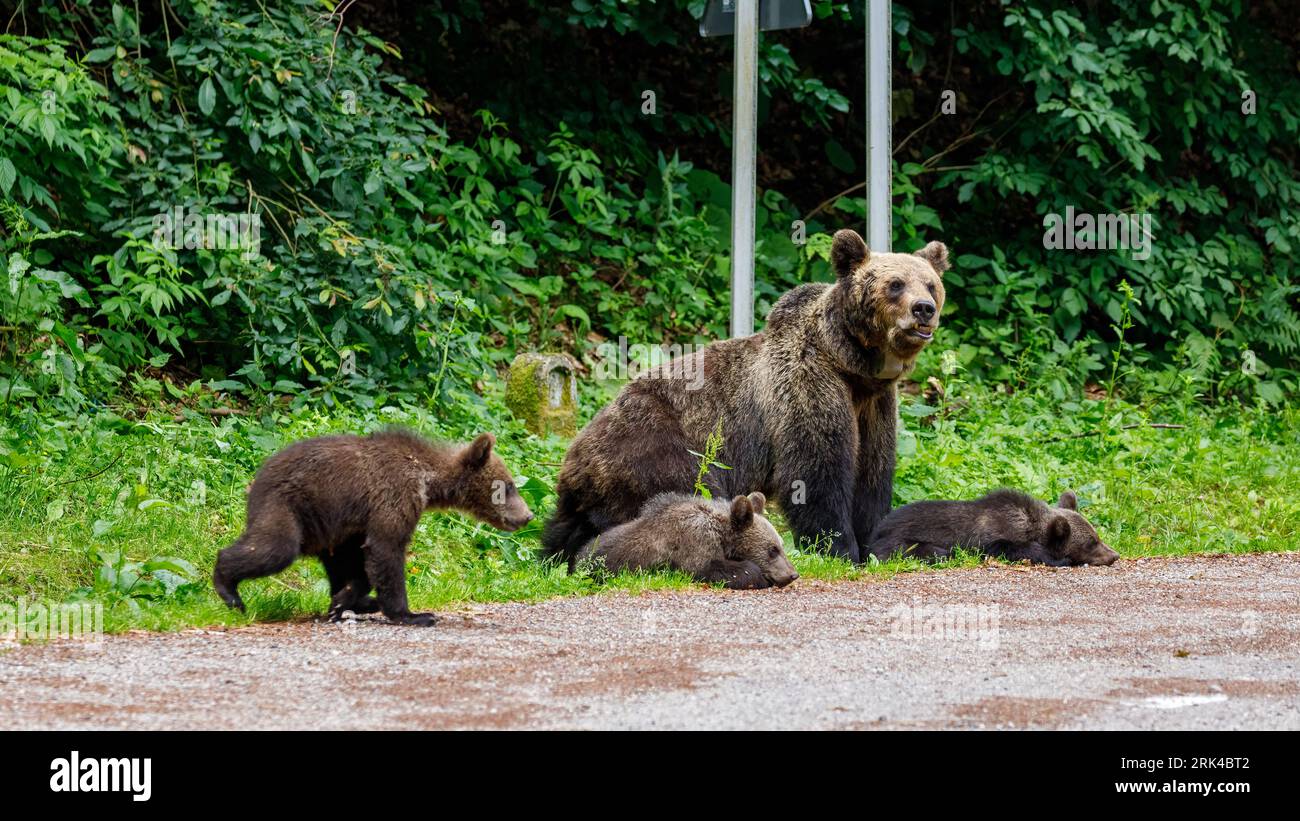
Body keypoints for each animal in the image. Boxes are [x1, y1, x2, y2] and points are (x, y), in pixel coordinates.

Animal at [212, 430, 533, 626]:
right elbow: (386, 548)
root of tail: (257, 478)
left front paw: (346, 599)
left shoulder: (350, 526)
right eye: (508, 486)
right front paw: (412, 614)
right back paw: (229, 590)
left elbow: (354, 558)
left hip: (317, 521)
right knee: (275, 547)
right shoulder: (394, 496)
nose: (528, 516)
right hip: (287, 505)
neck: (428, 481)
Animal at [542, 228, 947, 567]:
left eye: (930, 284)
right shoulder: (808, 387)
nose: (923, 309)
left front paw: (882, 544)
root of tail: (576, 458)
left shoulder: (875, 405)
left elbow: (872, 474)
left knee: (562, 530)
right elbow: (816, 472)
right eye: (895, 284)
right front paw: (839, 549)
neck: (851, 364)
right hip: (661, 452)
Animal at [574, 491, 799, 589]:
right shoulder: (693, 543)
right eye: (772, 549)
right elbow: (706, 568)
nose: (793, 574)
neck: (722, 536)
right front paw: (756, 575)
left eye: (781, 546)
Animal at [864, 489, 1120, 567]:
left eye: (1097, 536)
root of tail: (875, 532)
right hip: (902, 542)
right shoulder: (993, 538)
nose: (1115, 555)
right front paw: (1060, 559)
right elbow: (1014, 549)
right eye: (1092, 542)